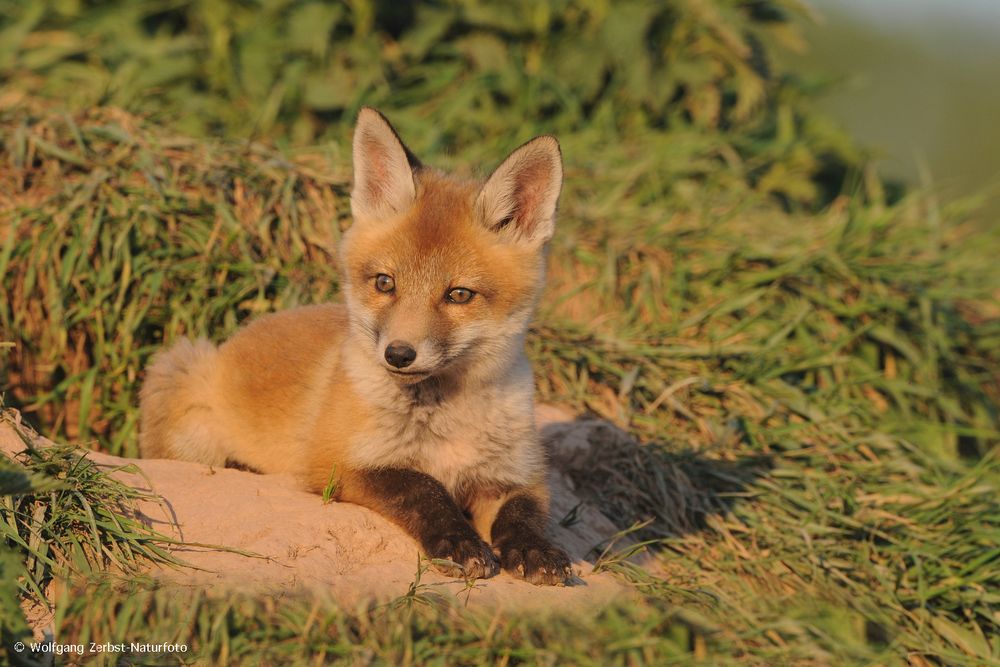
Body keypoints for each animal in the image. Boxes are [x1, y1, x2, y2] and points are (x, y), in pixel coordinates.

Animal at [138, 108, 572, 585]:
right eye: (385, 283)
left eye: (459, 295)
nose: (398, 354)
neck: (445, 422)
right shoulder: (338, 466)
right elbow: (421, 486)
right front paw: (458, 542)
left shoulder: (517, 474)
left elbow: (525, 512)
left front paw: (536, 551)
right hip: (185, 391)